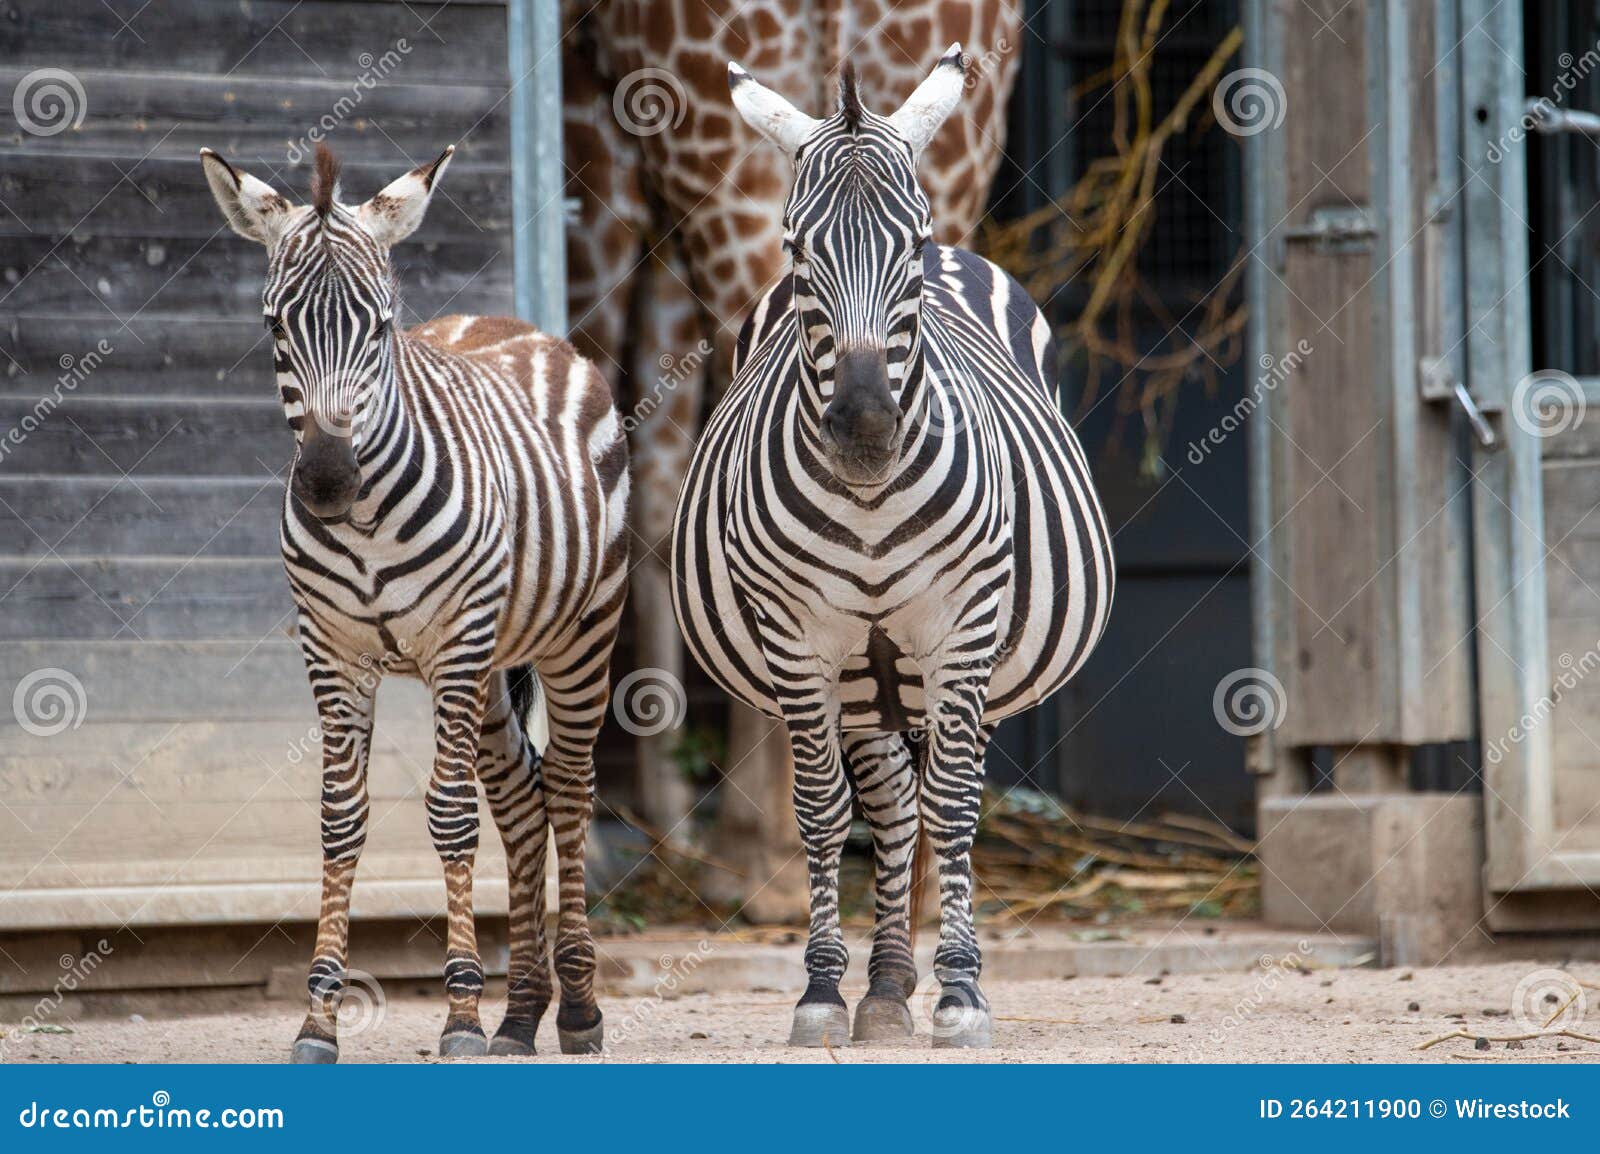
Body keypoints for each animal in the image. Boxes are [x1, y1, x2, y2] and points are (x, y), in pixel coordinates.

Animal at [201, 144, 629, 1062]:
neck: (366, 524)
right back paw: (521, 1015)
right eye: (273, 326)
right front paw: (319, 1018)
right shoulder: (331, 653)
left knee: (569, 787)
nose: (327, 482)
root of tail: (509, 323)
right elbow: (342, 820)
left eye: (380, 325)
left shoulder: (455, 647)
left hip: (578, 637)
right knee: (523, 797)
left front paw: (460, 1014)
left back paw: (577, 1010)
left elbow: (451, 817)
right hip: (498, 664)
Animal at [671, 47, 1114, 1048]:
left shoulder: (961, 629)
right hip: (867, 682)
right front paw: (824, 992)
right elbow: (823, 812)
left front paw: (960, 995)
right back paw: (884, 986)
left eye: (904, 249)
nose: (866, 428)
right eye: (798, 250)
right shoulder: (800, 640)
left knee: (941, 797)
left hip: (964, 662)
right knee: (891, 806)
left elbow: (954, 805)